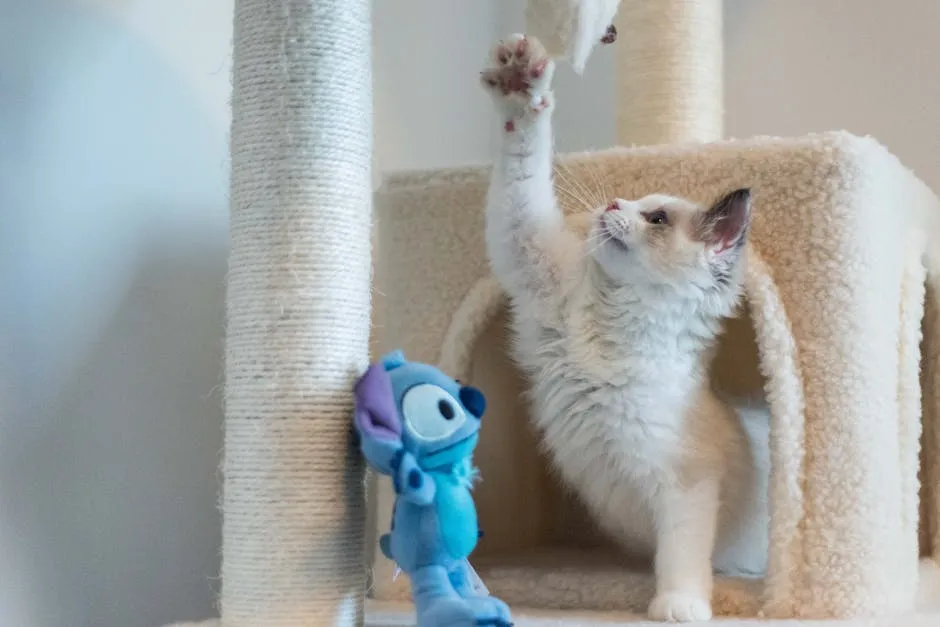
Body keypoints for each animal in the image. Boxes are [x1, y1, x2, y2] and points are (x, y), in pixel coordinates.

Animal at [482, 35, 768, 624]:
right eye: (630, 203)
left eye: (655, 218)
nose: (612, 205)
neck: (615, 331)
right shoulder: (532, 264)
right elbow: (521, 165)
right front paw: (521, 84)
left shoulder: (686, 485)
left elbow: (681, 554)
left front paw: (678, 606)